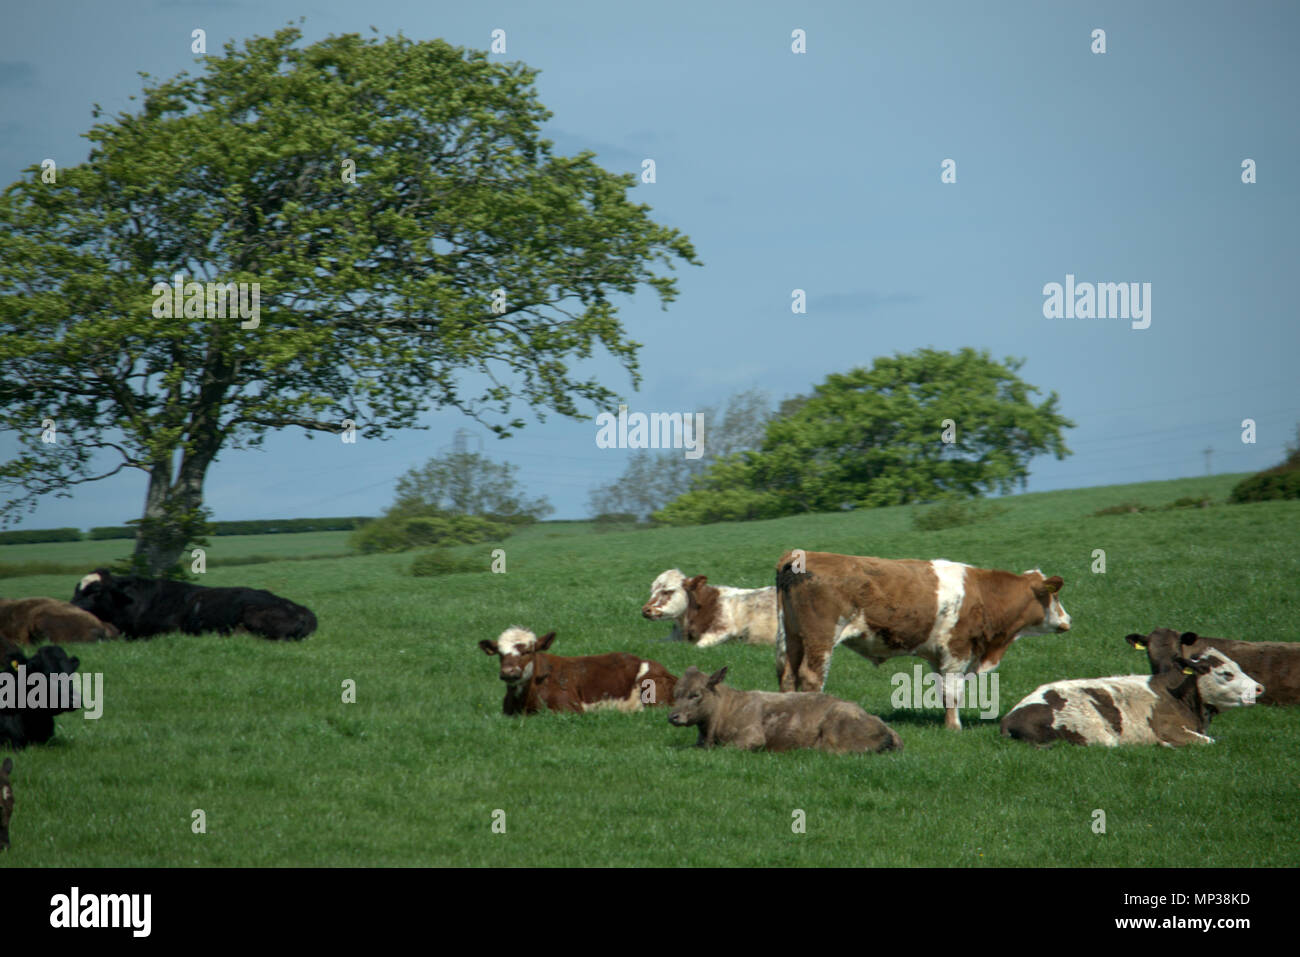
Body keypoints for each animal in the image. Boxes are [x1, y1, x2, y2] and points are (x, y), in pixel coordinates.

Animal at [775, 550, 1072, 729]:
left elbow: (943, 691)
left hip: (792, 636)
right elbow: (953, 690)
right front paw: (955, 727)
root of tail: (804, 556)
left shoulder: (937, 655)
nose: (1067, 619)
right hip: (820, 639)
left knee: (788, 675)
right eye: (1055, 596)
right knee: (811, 677)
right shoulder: (957, 649)